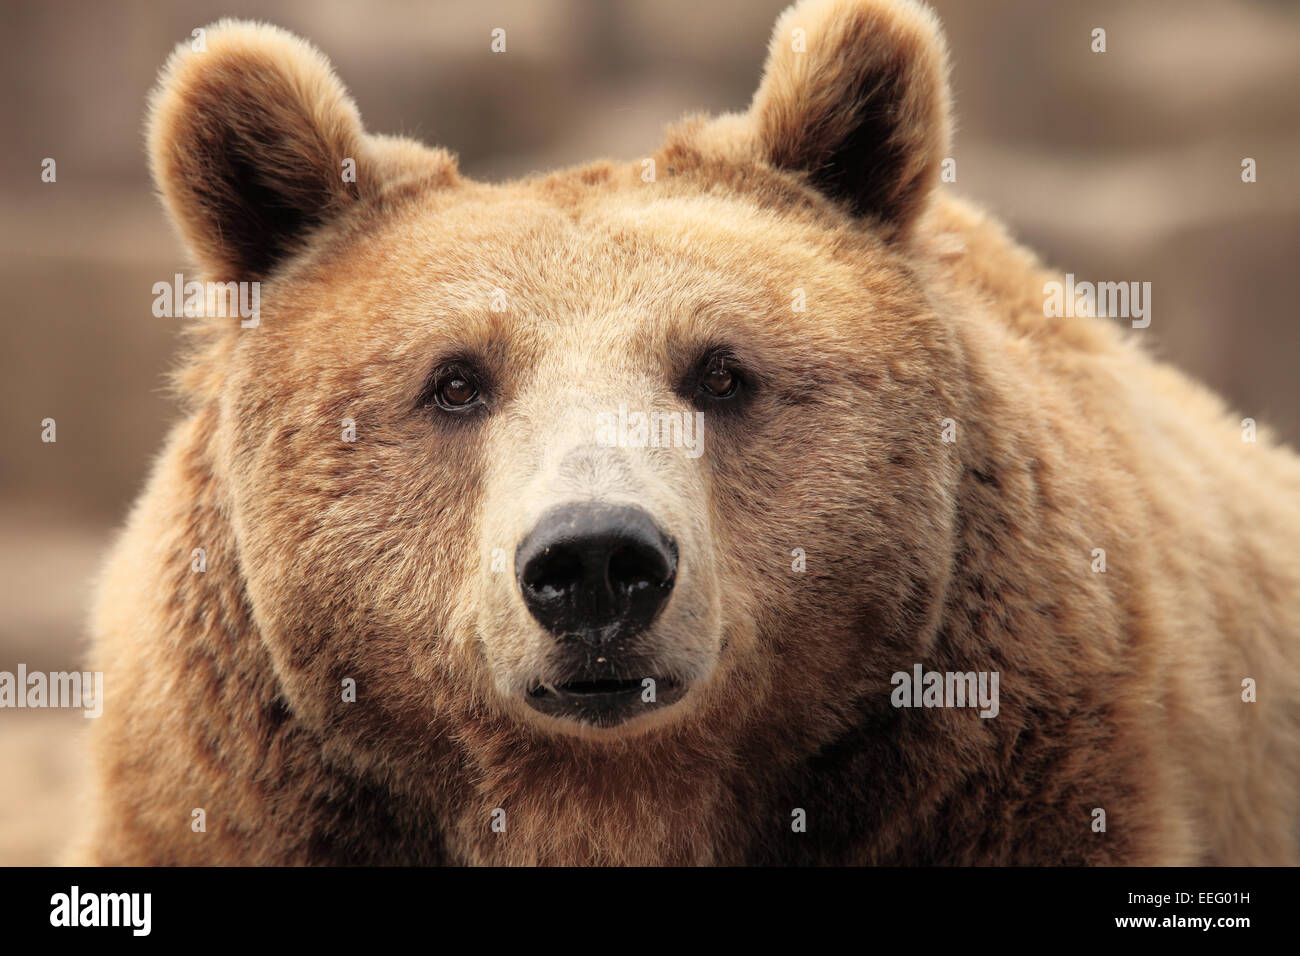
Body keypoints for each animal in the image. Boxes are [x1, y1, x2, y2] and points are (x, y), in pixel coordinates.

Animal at [71, 0, 1300, 866]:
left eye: (720, 370)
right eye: (455, 381)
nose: (594, 561)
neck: (614, 797)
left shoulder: (1008, 766)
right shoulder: (245, 798)